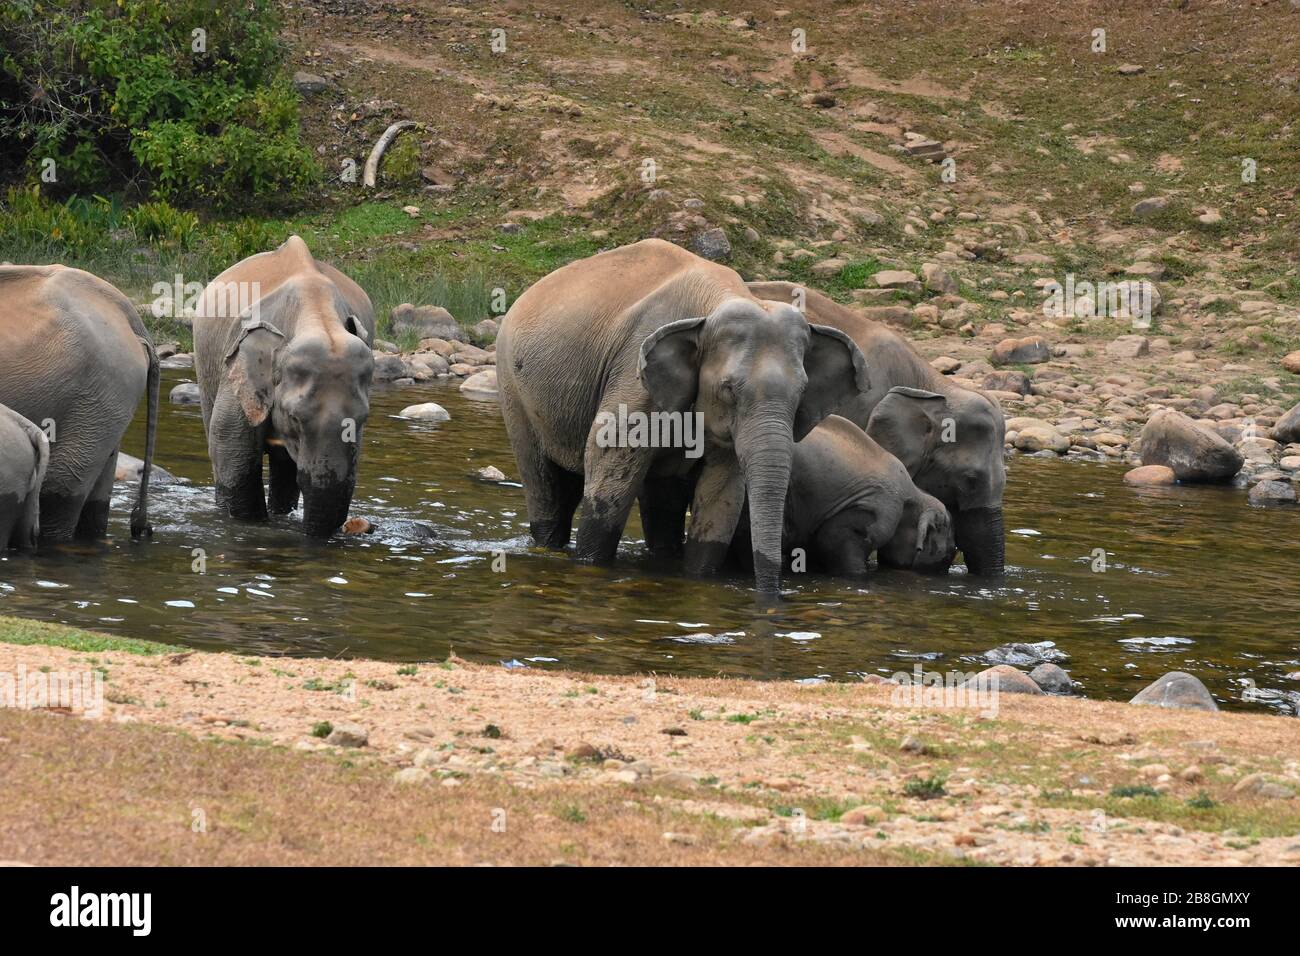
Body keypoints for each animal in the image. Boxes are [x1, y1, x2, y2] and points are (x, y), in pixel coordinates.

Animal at [192, 235, 376, 538]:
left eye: (362, 420)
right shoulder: (237, 368)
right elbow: (231, 450)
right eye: (295, 418)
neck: (317, 314)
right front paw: (251, 525)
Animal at [497, 238, 869, 593]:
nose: (773, 595)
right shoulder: (632, 374)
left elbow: (722, 489)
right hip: (512, 388)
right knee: (546, 486)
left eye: (801, 393)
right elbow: (609, 454)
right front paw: (591, 566)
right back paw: (548, 545)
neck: (717, 301)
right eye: (728, 389)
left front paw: (699, 578)